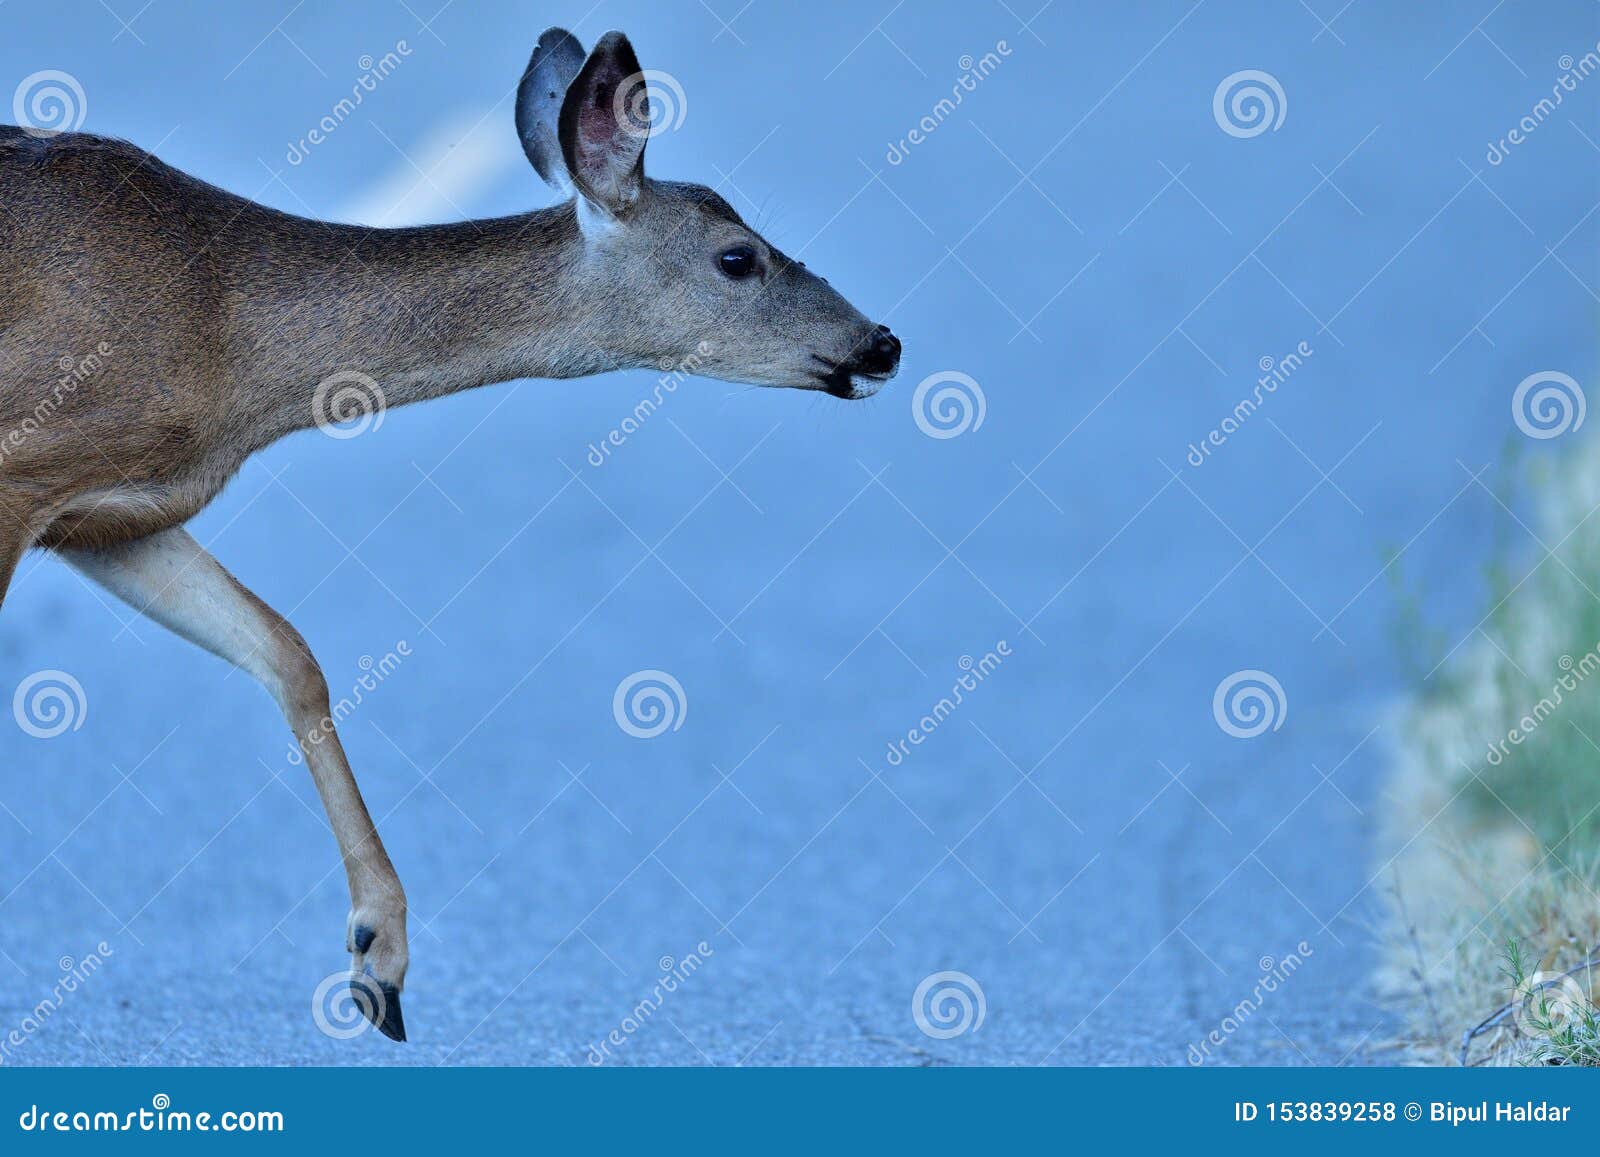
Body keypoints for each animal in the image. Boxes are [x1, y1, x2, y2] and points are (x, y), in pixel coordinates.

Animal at [0, 27, 901, 1043]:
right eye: (737, 257)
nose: (882, 342)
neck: (229, 337)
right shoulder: (24, 458)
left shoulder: (110, 513)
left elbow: (288, 653)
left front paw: (379, 960)